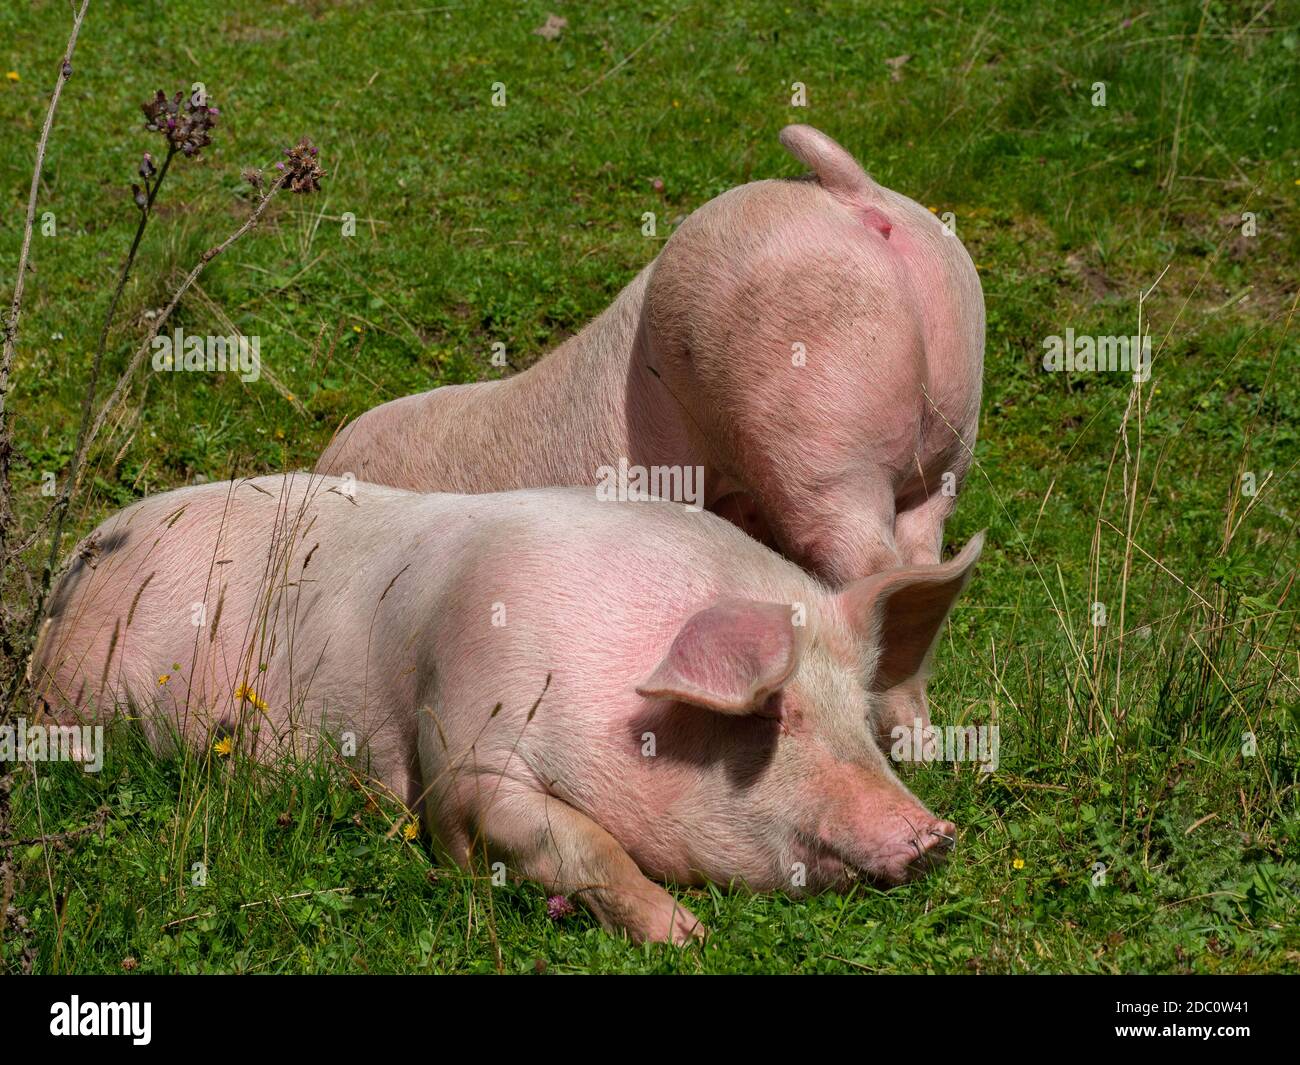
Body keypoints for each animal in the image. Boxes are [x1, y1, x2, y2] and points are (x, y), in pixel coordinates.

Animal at [32, 474, 983, 944]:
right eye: (770, 719)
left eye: (860, 717)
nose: (935, 834)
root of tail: (73, 563)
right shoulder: (463, 743)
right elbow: (567, 837)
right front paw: (685, 933)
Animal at [315, 124, 984, 743]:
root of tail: (849, 190)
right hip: (950, 433)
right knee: (922, 551)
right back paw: (920, 737)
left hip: (815, 421)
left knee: (871, 562)